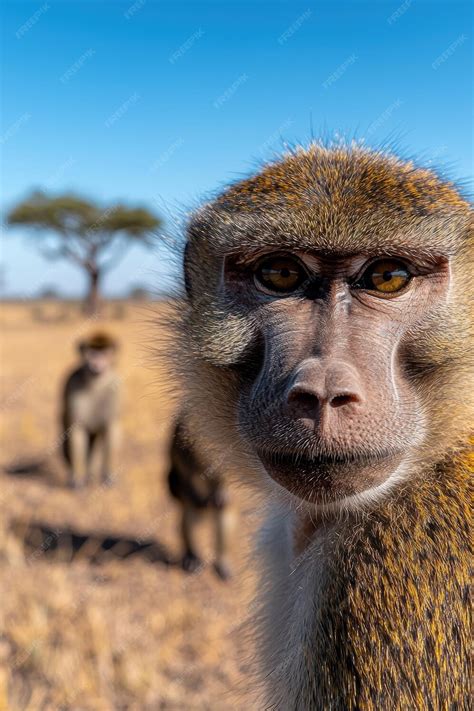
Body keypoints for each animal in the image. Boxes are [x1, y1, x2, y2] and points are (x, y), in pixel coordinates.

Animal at [61, 331, 121, 488]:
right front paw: (78, 477)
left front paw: (109, 474)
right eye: (92, 351)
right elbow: (76, 430)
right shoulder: (73, 385)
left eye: (104, 352)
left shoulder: (117, 389)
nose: (97, 360)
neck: (96, 383)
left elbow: (112, 427)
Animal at [167, 418, 233, 580]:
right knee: (189, 515)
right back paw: (192, 556)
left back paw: (222, 562)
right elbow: (180, 455)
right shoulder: (184, 428)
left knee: (223, 516)